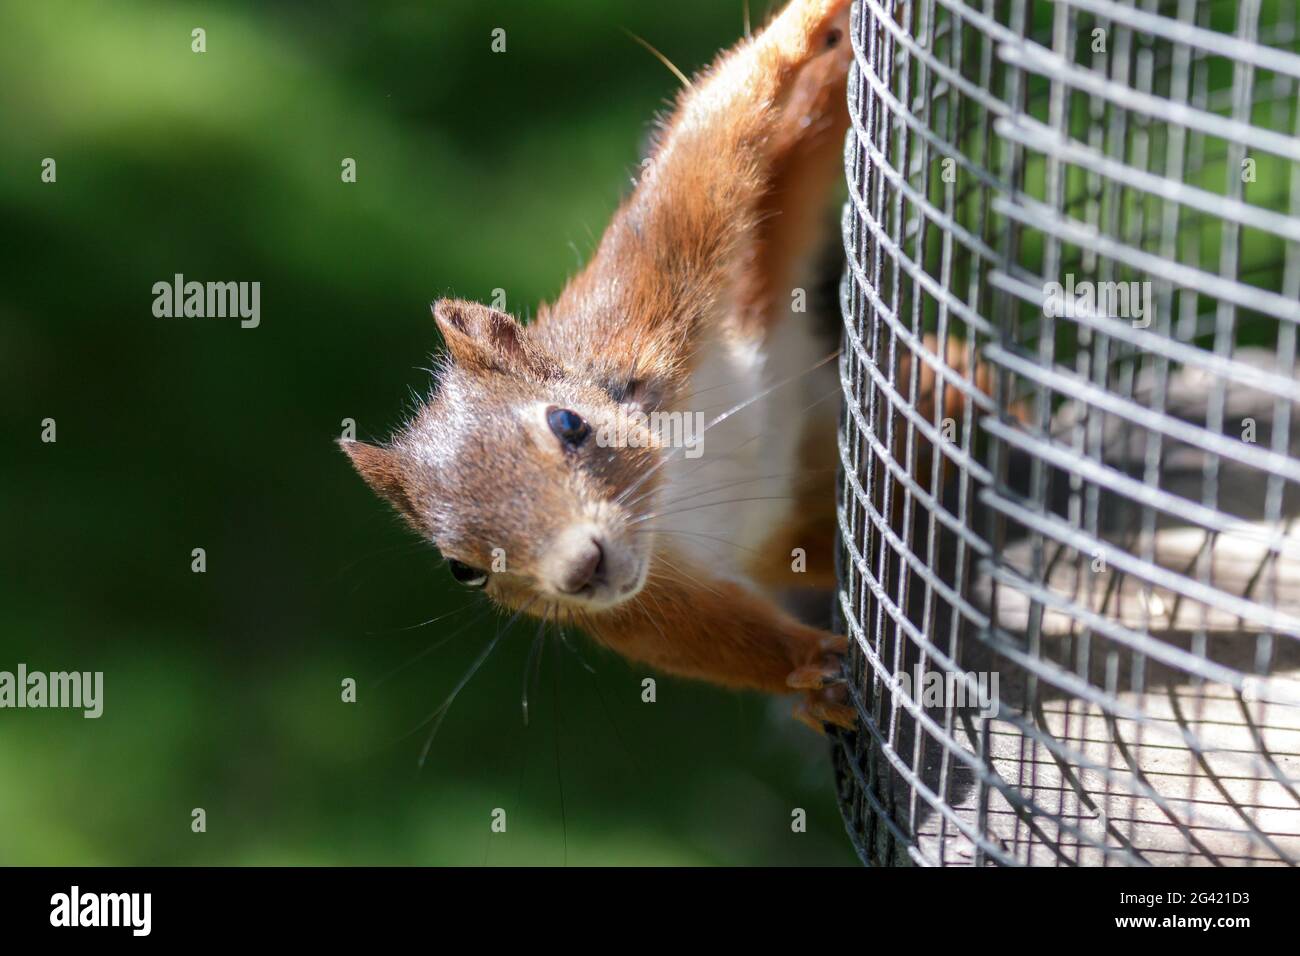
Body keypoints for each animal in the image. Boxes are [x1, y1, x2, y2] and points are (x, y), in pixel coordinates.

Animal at [342, 0, 976, 732]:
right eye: (460, 569)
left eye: (568, 423)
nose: (581, 569)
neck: (673, 485)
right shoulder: (647, 602)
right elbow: (702, 635)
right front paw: (812, 676)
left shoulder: (645, 306)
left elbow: (705, 151)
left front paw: (803, 26)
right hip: (796, 521)